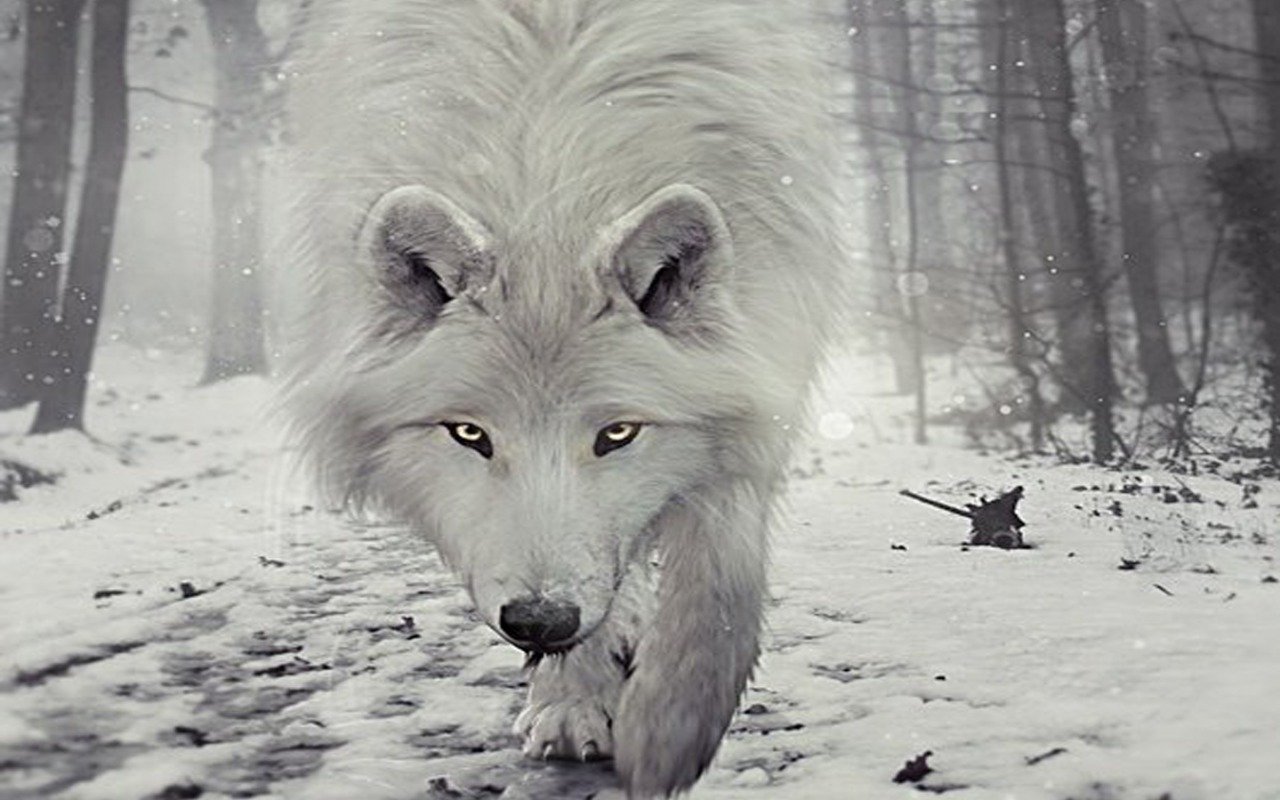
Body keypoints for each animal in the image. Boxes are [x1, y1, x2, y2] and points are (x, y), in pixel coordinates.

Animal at [281, 0, 846, 795]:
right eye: (468, 435)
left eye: (617, 434)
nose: (539, 621)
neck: (547, 182)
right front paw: (575, 701)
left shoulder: (767, 355)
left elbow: (720, 574)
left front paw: (670, 729)